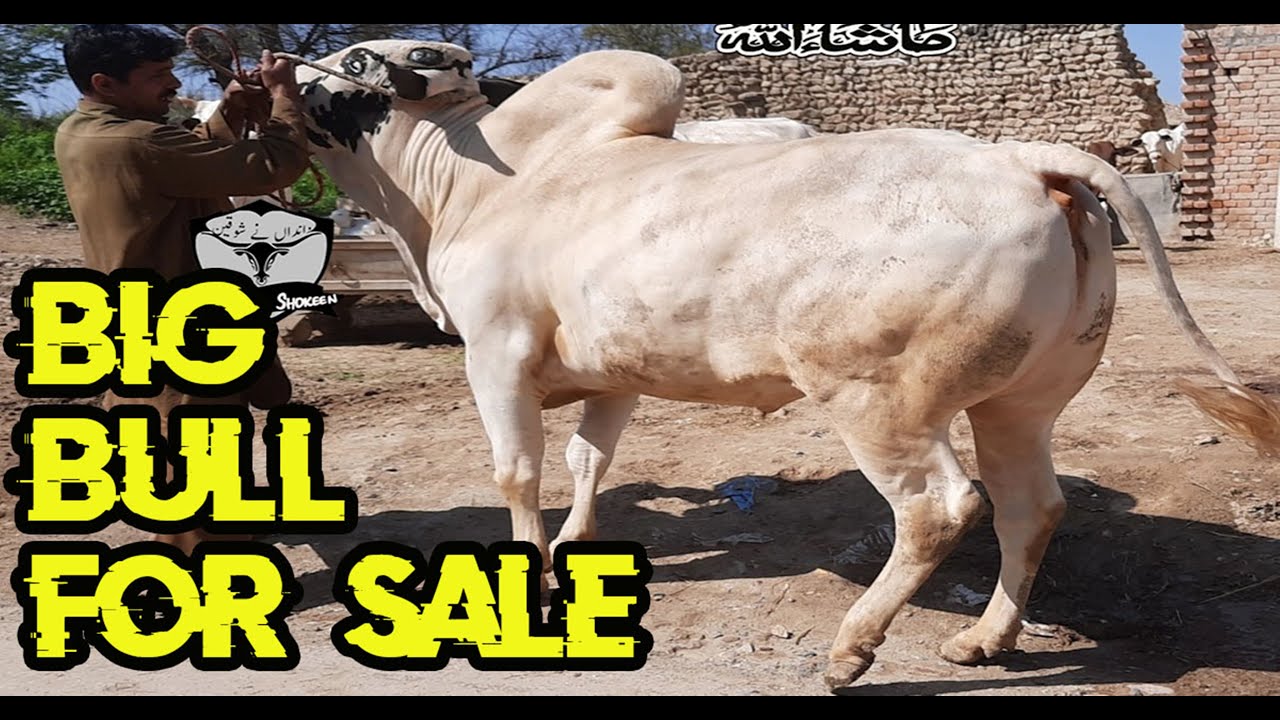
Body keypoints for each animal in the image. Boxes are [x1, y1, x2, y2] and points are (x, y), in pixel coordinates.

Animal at [292, 41, 1280, 690]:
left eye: (350, 64)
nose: (272, 71)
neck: (467, 185)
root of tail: (1019, 157)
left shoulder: (495, 355)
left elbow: (518, 469)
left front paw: (528, 576)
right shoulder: (613, 372)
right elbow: (588, 459)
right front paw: (573, 551)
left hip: (878, 401)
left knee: (939, 508)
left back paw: (853, 648)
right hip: (1021, 404)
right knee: (1030, 508)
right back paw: (984, 641)